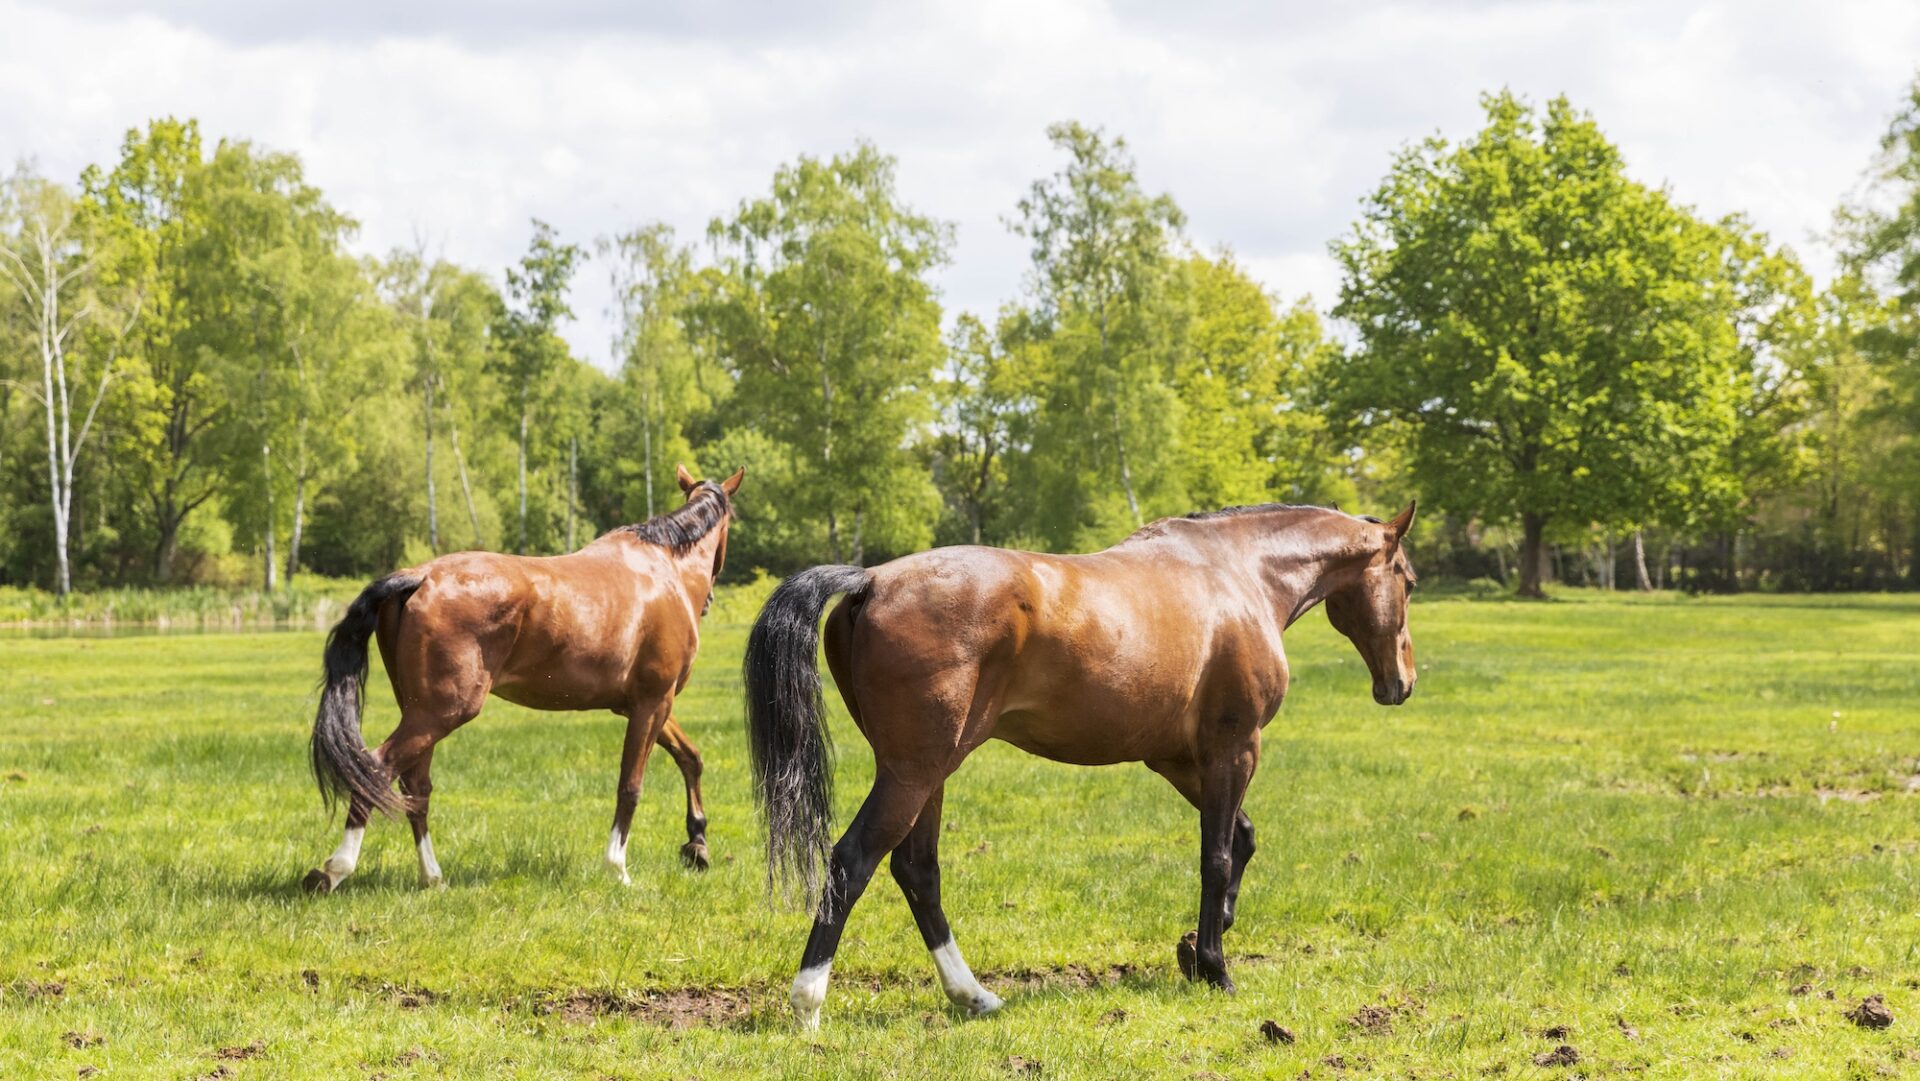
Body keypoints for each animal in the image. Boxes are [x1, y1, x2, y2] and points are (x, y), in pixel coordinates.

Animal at [303, 465, 744, 894]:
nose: (709, 601)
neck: (662, 570)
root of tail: (420, 577)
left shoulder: (644, 704)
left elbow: (690, 758)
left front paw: (697, 844)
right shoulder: (653, 703)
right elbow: (631, 785)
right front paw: (617, 868)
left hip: (420, 712)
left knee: (415, 786)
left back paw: (433, 878)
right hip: (439, 713)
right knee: (377, 769)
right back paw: (334, 870)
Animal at [743, 501, 1418, 1029]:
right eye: (1407, 581)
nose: (1401, 684)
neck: (1238, 573)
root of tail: (870, 581)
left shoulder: (1175, 757)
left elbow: (1241, 841)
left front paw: (1195, 948)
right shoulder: (1234, 748)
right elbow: (1218, 857)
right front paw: (1215, 968)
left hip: (929, 773)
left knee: (916, 870)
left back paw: (973, 996)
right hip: (913, 772)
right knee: (852, 861)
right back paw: (809, 1004)